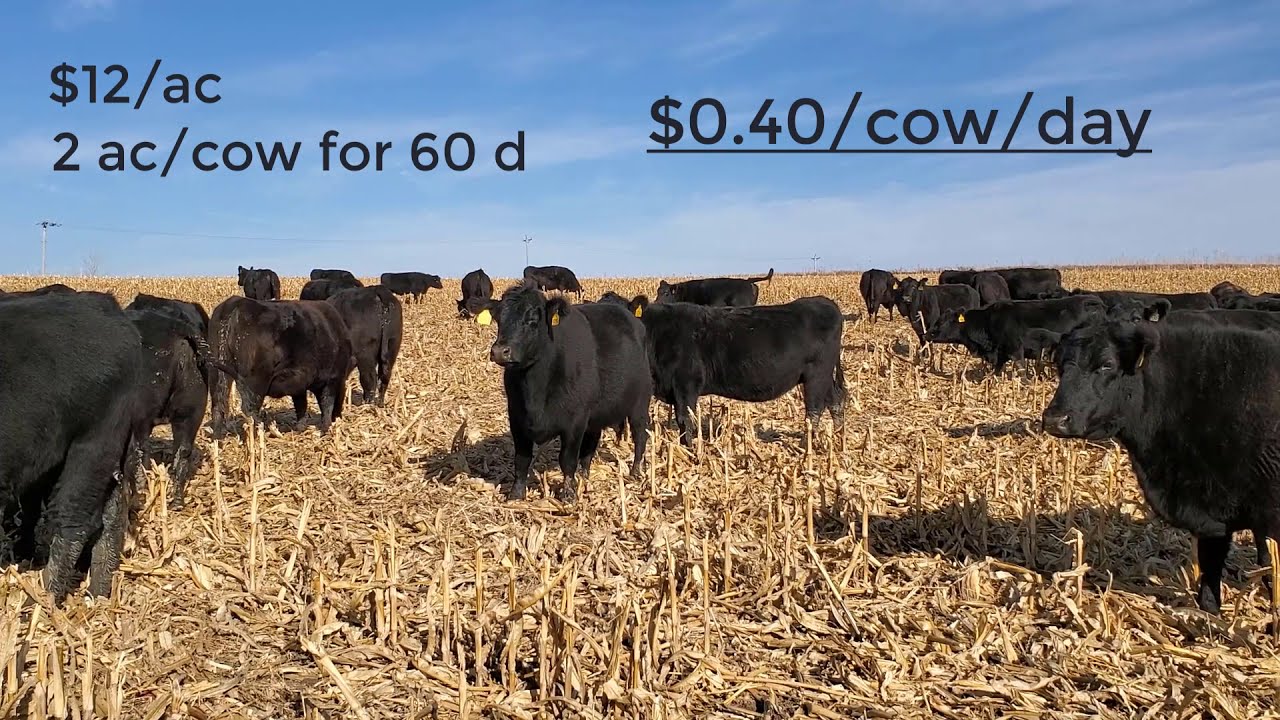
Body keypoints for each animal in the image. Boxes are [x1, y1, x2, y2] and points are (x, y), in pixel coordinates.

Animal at [206, 297, 354, 436]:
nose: (339, 417)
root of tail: (236, 304)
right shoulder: (332, 378)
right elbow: (326, 404)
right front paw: (325, 429)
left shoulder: (299, 383)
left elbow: (302, 405)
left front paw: (300, 428)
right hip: (255, 381)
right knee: (249, 409)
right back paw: (261, 431)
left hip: (217, 374)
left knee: (218, 405)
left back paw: (218, 437)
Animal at [475, 282, 652, 502]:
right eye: (499, 319)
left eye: (533, 320)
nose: (500, 351)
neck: (535, 390)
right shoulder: (516, 418)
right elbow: (521, 459)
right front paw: (516, 494)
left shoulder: (575, 421)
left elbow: (567, 460)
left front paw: (568, 494)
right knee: (590, 447)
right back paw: (584, 478)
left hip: (640, 404)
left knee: (640, 436)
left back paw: (635, 472)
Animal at [627, 295, 846, 447]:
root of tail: (825, 303)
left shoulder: (685, 383)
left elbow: (685, 419)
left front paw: (688, 450)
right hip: (823, 376)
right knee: (835, 401)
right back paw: (838, 436)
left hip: (817, 375)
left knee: (814, 409)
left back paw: (805, 446)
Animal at [929, 295, 1106, 373]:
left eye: (942, 322)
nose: (926, 334)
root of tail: (1091, 300)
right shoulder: (1000, 354)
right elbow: (996, 371)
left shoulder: (1016, 349)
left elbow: (1021, 371)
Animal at [1042, 319, 1280, 614]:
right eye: (1060, 363)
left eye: (1107, 364)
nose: (1055, 419)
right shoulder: (1214, 519)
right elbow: (1210, 571)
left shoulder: (1268, 518)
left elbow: (1270, 573)